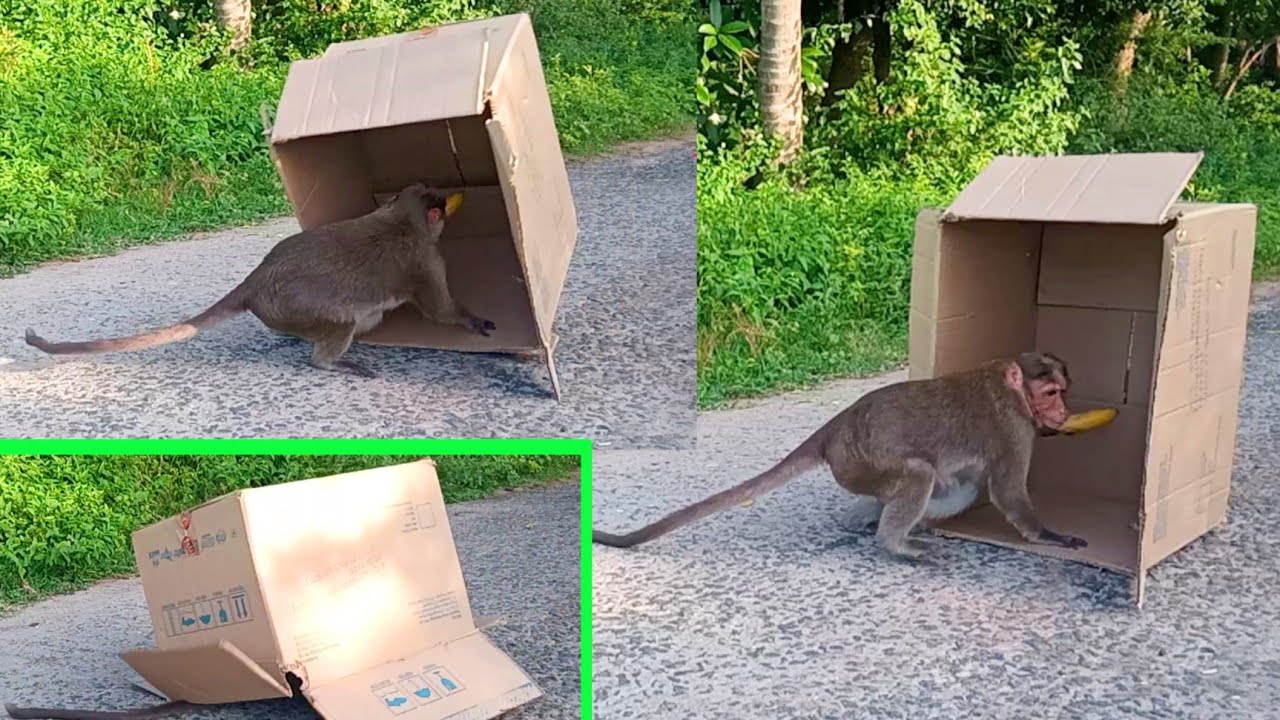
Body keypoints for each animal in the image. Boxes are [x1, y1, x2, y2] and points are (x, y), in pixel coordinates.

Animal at [24, 183, 496, 378]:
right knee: (340, 327)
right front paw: (472, 321)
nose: (447, 197)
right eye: (438, 200)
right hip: (303, 307)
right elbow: (441, 310)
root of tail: (256, 279)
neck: (402, 218)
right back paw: (332, 361)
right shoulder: (426, 261)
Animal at [592, 352, 1090, 560]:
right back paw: (894, 544)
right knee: (920, 475)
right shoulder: (1014, 428)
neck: (1009, 387)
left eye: (1063, 389)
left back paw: (865, 521)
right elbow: (1008, 491)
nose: (1063, 411)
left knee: (945, 486)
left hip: (861, 472)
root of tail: (836, 426)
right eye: (1050, 392)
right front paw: (1050, 535)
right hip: (865, 462)